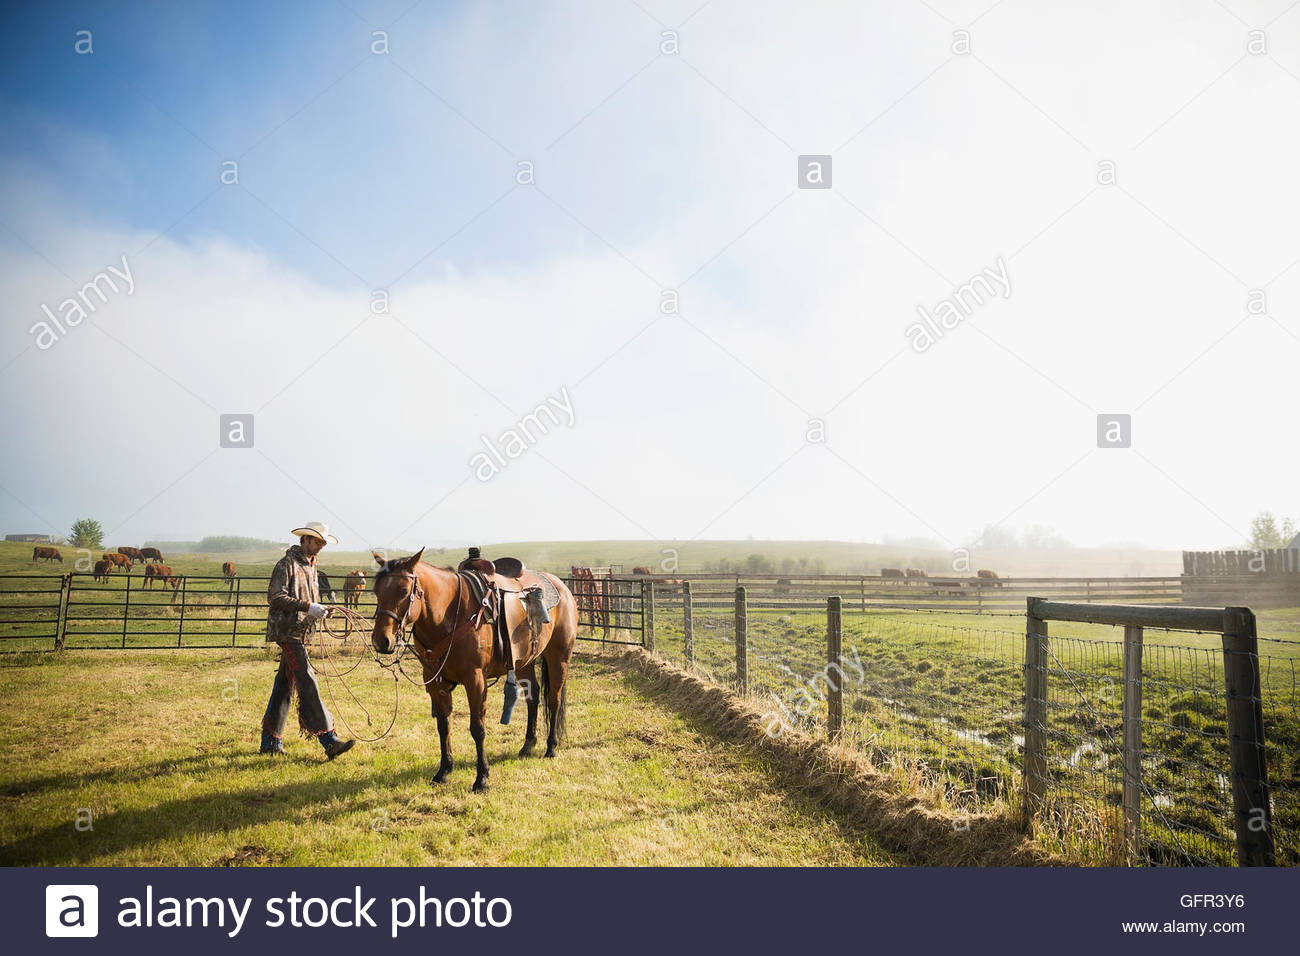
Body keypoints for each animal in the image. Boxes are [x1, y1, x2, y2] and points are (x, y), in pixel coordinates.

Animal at [369, 549, 577, 793]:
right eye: (376, 591)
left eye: (403, 591)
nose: (381, 640)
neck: (449, 614)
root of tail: (561, 586)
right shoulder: (434, 680)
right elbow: (443, 725)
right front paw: (443, 771)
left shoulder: (475, 680)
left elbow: (477, 728)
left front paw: (482, 778)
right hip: (524, 661)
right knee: (533, 698)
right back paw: (528, 744)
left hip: (558, 657)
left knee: (553, 699)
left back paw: (551, 747)